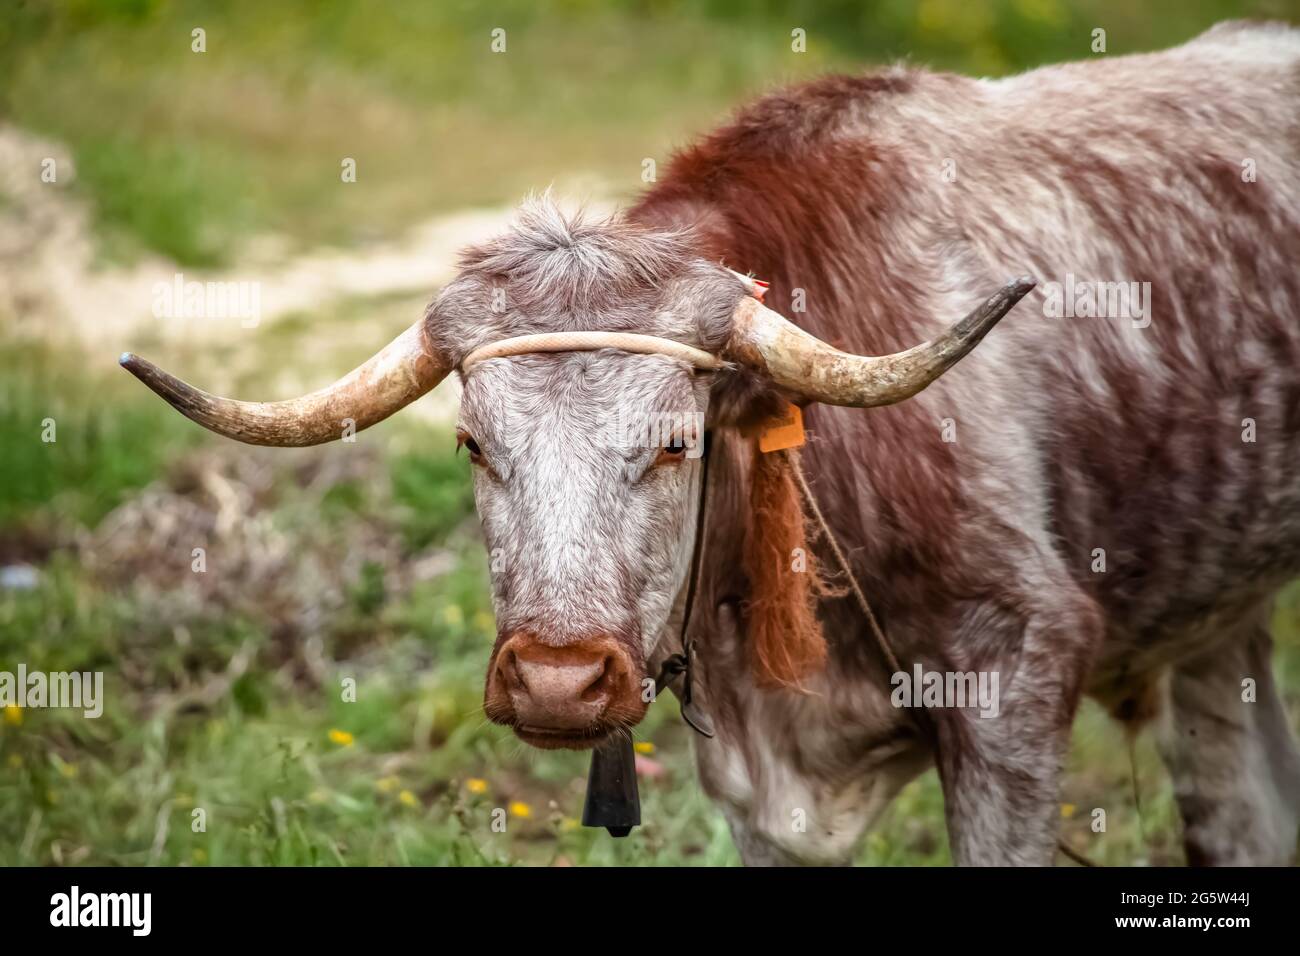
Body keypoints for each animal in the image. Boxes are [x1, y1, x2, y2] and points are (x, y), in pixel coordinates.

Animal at [122, 21, 1300, 865]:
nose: (557, 682)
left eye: (676, 443)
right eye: (470, 444)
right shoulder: (756, 795)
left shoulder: (1017, 674)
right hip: (1216, 614)